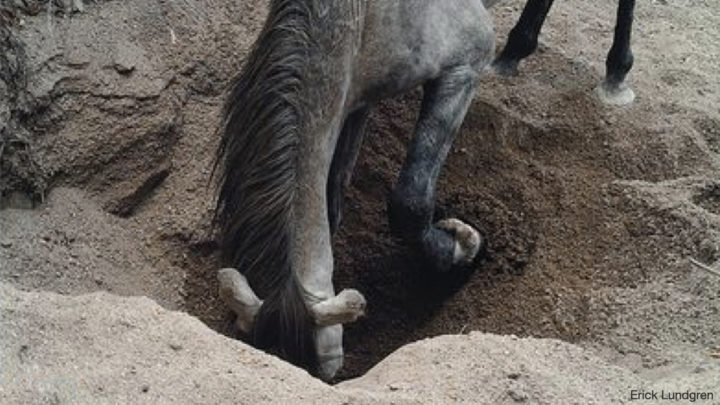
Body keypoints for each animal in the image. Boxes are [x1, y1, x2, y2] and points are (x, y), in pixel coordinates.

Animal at [213, 0, 492, 380]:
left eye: (323, 371)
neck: (365, 15)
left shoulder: (466, 60)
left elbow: (410, 201)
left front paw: (459, 247)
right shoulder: (353, 96)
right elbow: (334, 194)